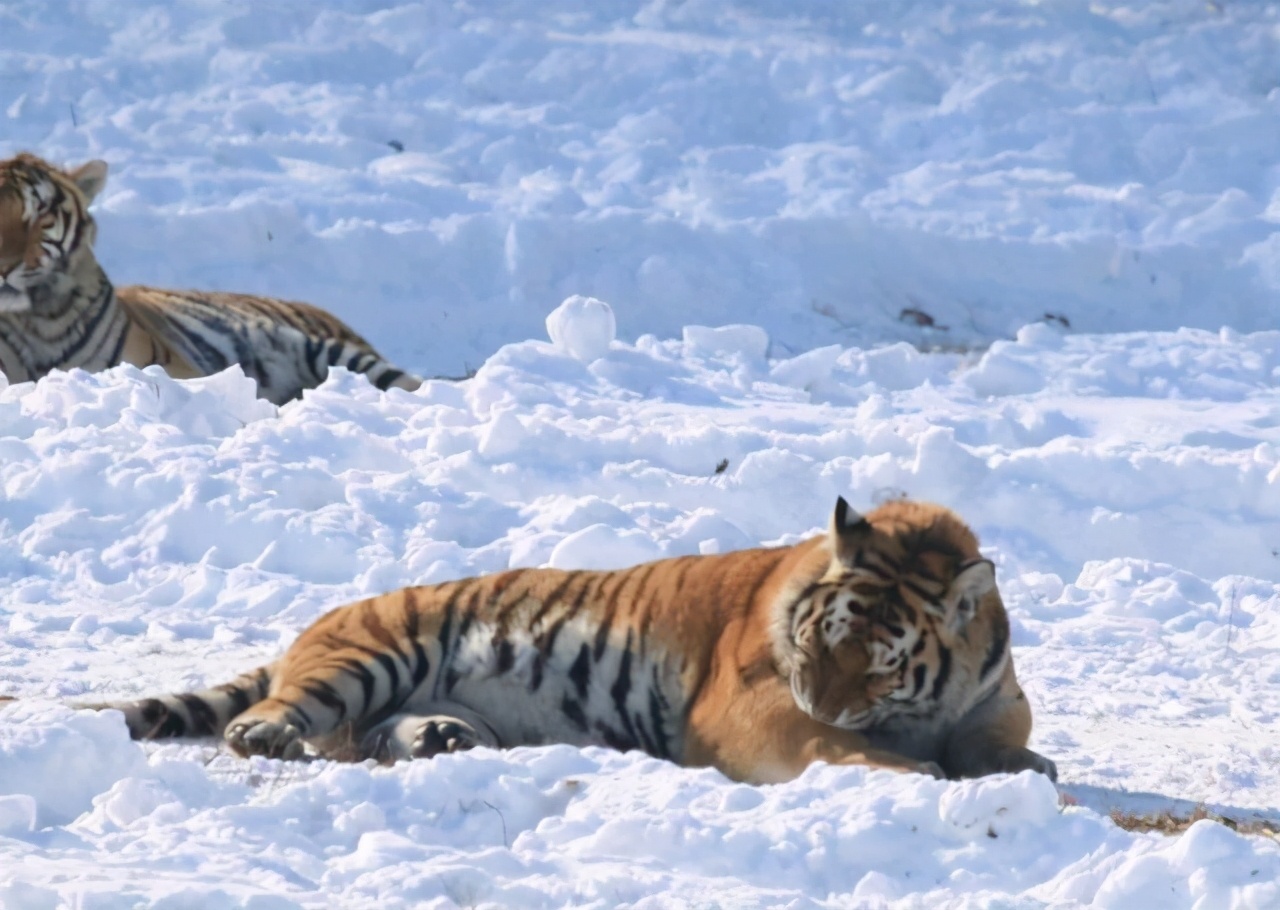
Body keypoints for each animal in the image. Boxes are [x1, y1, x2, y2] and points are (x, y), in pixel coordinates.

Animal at [79, 497, 1057, 785]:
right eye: (819, 644)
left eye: (876, 659)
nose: (820, 693)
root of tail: (311, 629)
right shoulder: (752, 709)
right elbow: (838, 748)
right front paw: (915, 774)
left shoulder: (993, 704)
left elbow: (1008, 746)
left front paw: (1026, 771)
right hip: (370, 655)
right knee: (288, 718)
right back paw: (266, 734)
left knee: (379, 734)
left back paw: (443, 740)